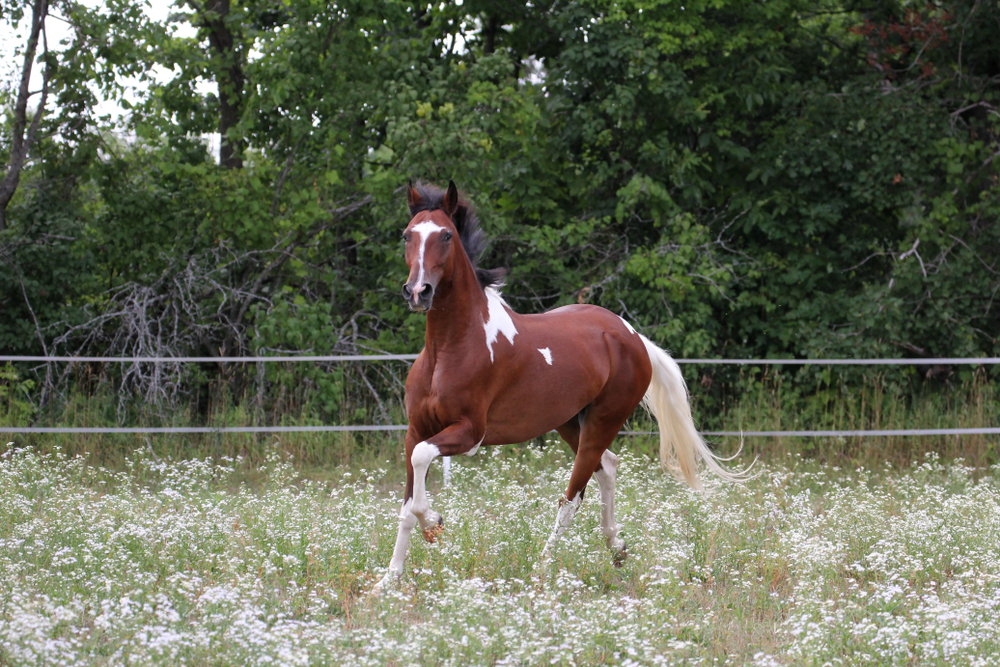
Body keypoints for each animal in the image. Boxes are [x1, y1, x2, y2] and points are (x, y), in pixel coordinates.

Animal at [372, 180, 743, 594]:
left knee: (572, 498)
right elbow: (407, 502)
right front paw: (388, 580)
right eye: (407, 235)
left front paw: (434, 525)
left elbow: (422, 464)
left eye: (447, 235)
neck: (449, 350)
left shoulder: (469, 434)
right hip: (569, 422)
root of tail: (632, 336)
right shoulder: (416, 430)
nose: (417, 292)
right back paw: (617, 547)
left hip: (603, 420)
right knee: (607, 467)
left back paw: (543, 568)